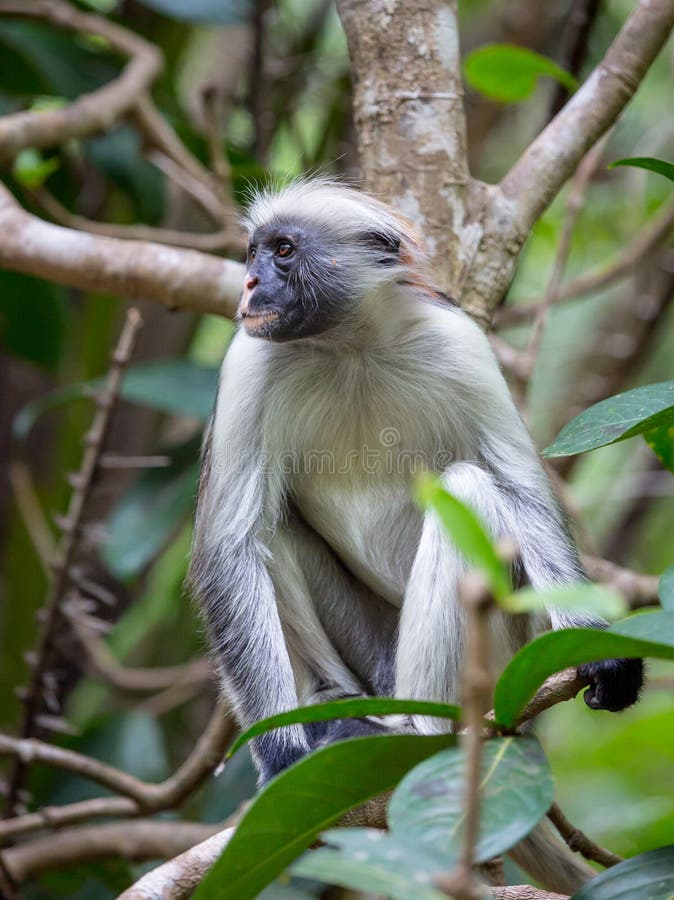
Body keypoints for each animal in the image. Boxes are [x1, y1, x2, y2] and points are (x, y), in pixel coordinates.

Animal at [189, 177, 643, 836]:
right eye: (253, 254)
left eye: (283, 251)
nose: (249, 284)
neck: (348, 346)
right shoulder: (249, 360)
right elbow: (228, 549)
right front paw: (280, 757)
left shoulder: (458, 341)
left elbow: (522, 494)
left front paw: (599, 651)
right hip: (373, 653)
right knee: (267, 533)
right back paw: (341, 712)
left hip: (502, 653)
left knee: (470, 488)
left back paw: (420, 731)